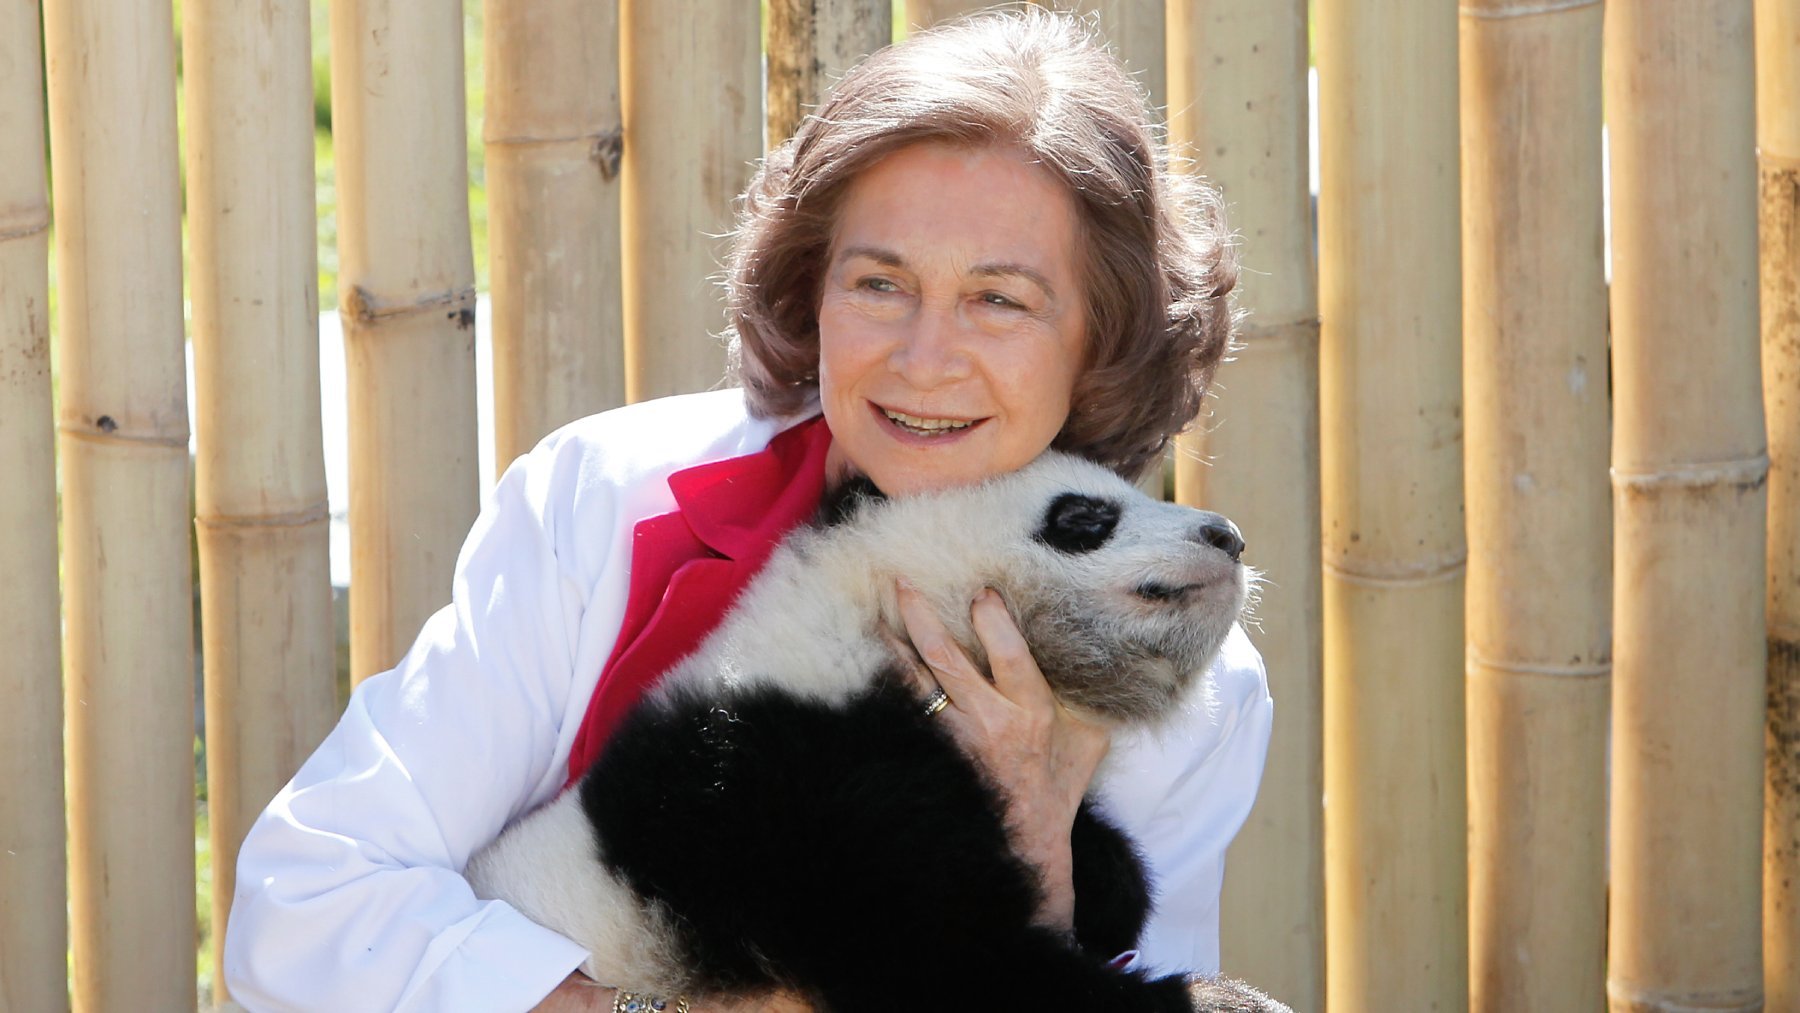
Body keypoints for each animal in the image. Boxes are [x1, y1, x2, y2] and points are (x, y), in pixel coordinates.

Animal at [466, 450, 1288, 1012]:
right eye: (1083, 517)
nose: (1226, 536)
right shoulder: (796, 789)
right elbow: (946, 963)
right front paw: (1226, 999)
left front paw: (1111, 883)